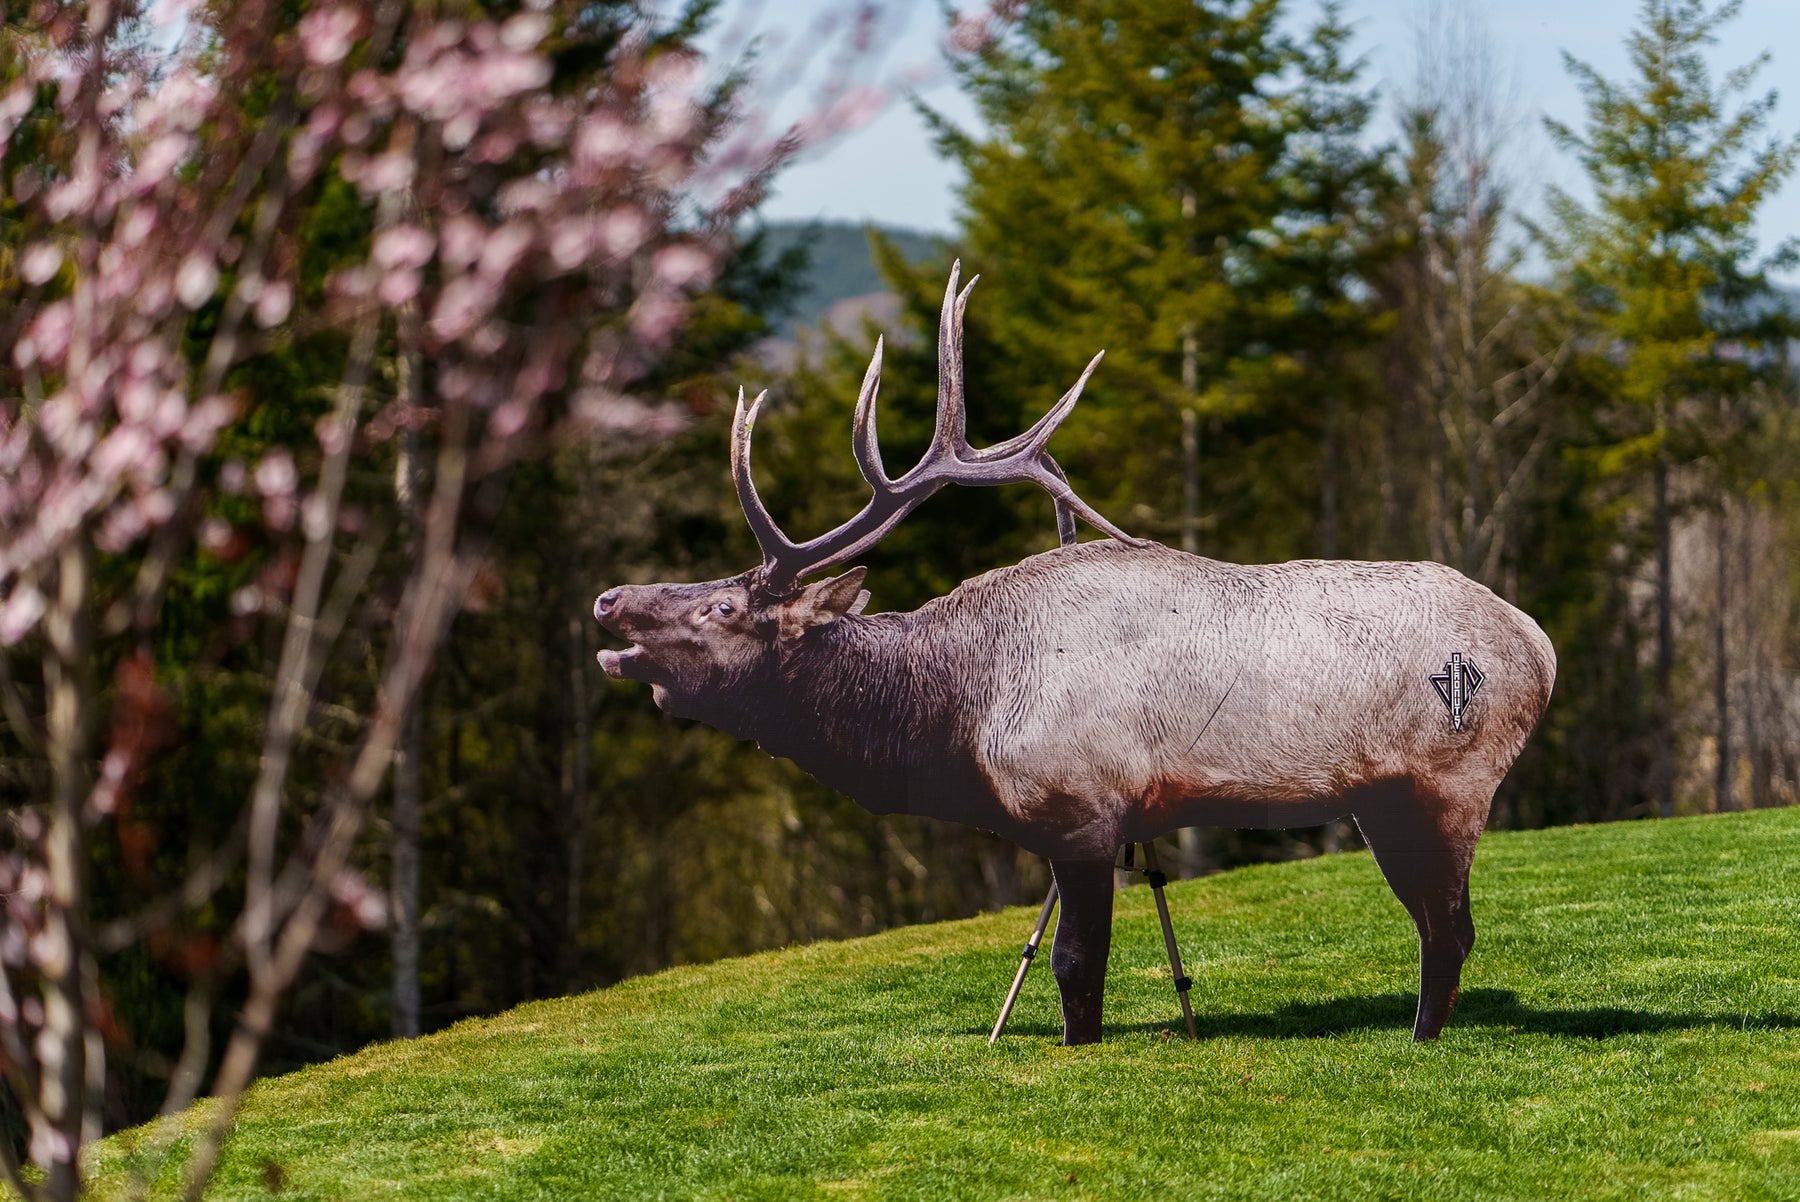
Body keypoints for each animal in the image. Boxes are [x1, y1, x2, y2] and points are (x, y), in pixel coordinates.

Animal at [593, 265, 1556, 1046]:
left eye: (723, 605)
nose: (609, 599)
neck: (958, 719)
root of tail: (1539, 644)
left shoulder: (1081, 809)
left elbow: (1073, 969)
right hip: (1383, 800)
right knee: (1439, 925)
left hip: (1446, 782)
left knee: (1448, 928)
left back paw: (1422, 1040)